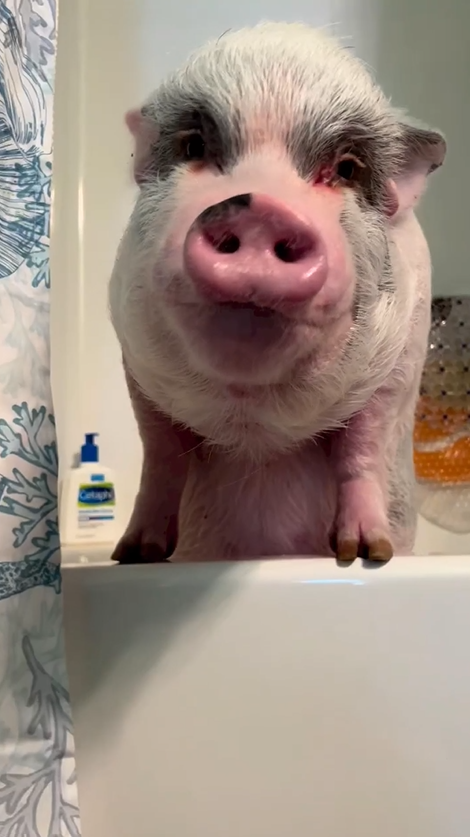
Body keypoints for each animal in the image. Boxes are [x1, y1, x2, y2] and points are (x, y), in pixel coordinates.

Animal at [109, 22, 446, 564]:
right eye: (193, 147)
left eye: (347, 168)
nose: (262, 208)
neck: (255, 431)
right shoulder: (135, 362)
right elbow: (160, 456)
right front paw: (134, 554)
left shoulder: (400, 362)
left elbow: (361, 451)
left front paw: (366, 553)